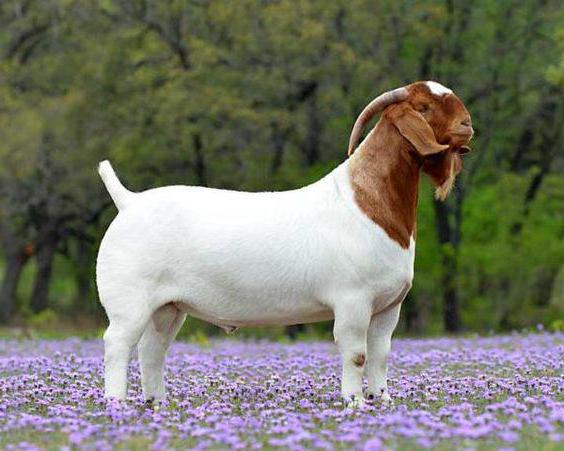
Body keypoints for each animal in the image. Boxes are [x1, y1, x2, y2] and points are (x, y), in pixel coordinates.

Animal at [96, 81, 472, 410]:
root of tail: (129, 202)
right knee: (118, 343)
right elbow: (356, 354)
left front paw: (383, 401)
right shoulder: (353, 302)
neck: (365, 201)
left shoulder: (388, 306)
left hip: (168, 307)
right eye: (423, 107)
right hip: (130, 301)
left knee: (151, 350)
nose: (467, 124)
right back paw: (117, 404)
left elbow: (380, 354)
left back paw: (157, 404)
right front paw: (353, 402)